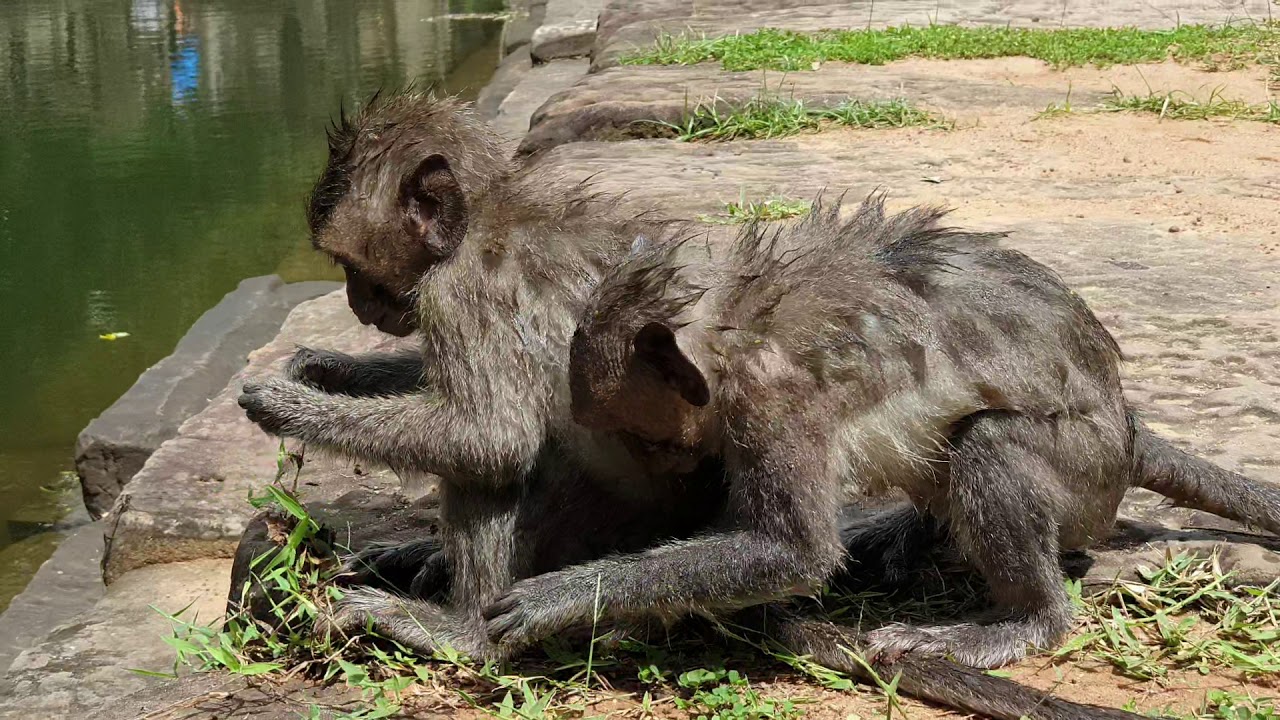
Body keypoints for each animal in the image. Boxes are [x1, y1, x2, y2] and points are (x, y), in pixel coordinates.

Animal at [480, 193, 1280, 673]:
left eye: (652, 441)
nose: (674, 470)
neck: (732, 326)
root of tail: (1129, 428)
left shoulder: (774, 399)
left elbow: (793, 554)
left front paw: (563, 597)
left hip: (1087, 476)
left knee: (989, 444)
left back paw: (1026, 620)